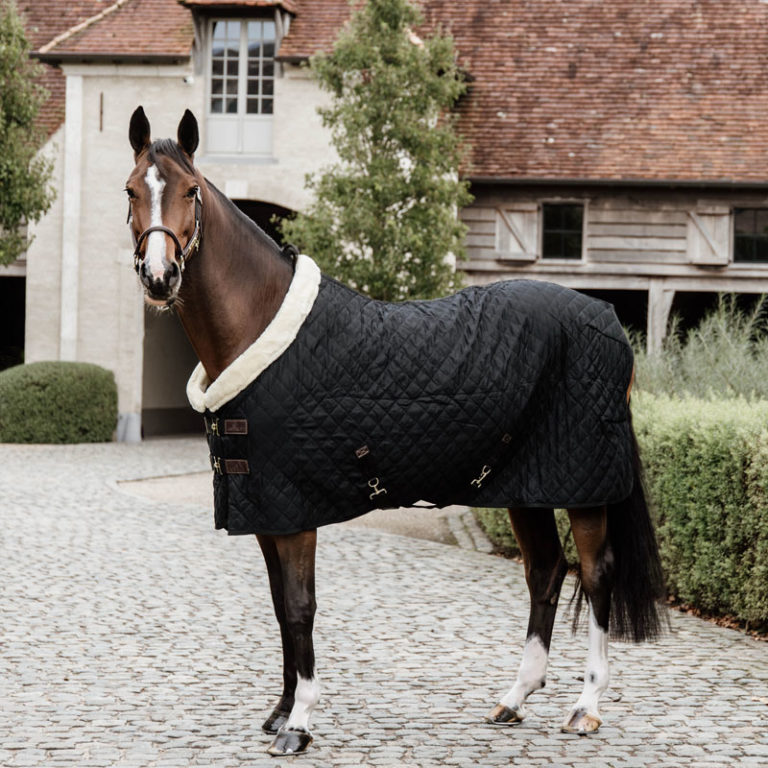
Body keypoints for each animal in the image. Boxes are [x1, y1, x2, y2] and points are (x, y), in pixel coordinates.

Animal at [125, 106, 665, 757]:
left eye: (190, 191)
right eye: (130, 191)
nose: (159, 275)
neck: (262, 326)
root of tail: (608, 321)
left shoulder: (295, 513)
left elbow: (300, 607)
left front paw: (299, 724)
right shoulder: (266, 511)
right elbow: (280, 608)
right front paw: (279, 712)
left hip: (582, 484)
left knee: (596, 571)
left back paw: (585, 707)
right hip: (527, 486)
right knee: (546, 570)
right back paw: (513, 698)